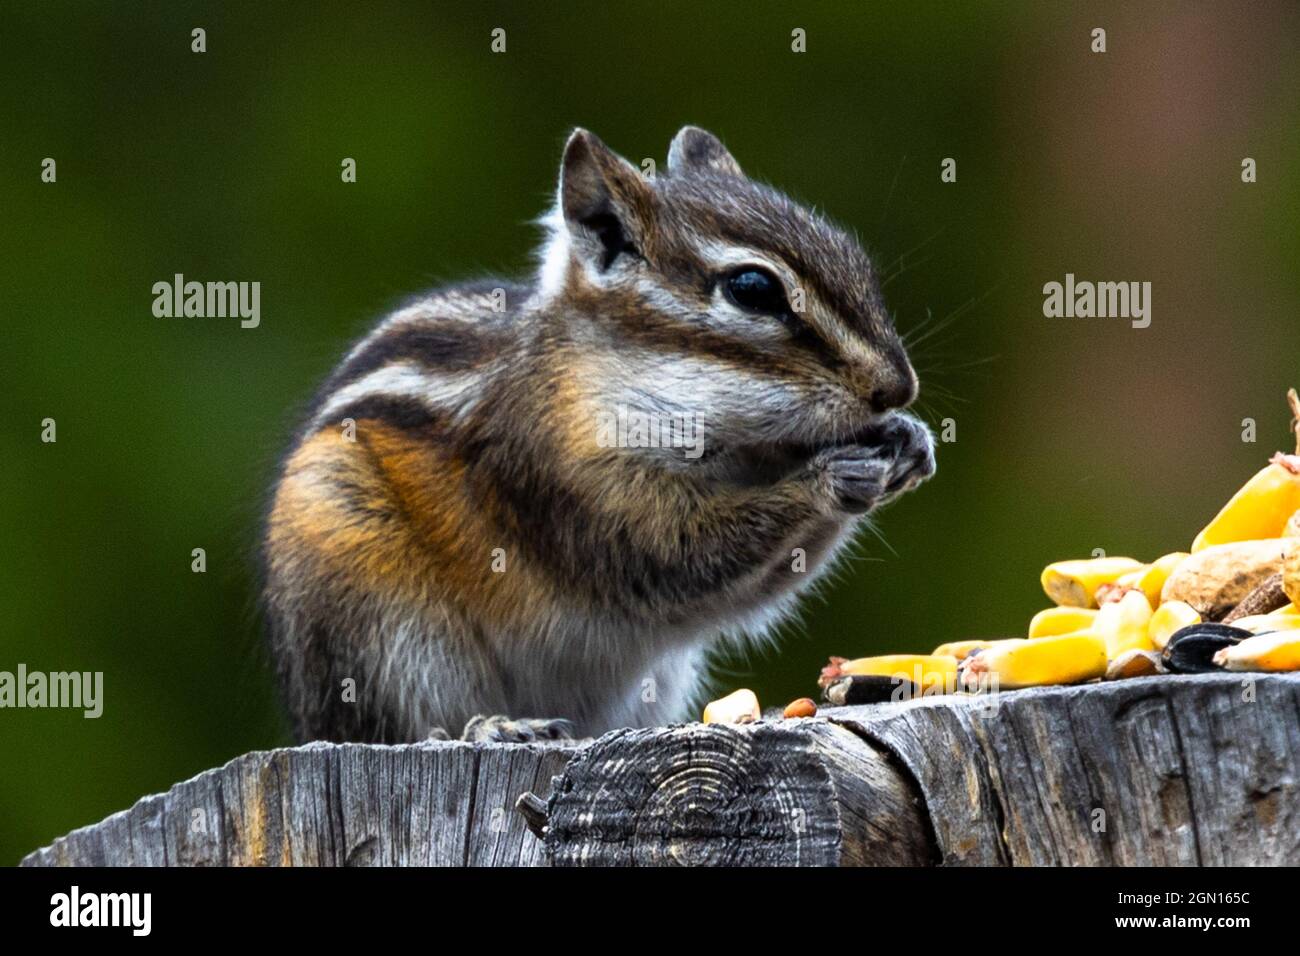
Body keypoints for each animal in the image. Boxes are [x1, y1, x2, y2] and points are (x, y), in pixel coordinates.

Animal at [262, 126, 935, 744]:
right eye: (753, 289)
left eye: (854, 259)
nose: (898, 388)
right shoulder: (558, 471)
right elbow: (669, 549)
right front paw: (830, 477)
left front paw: (911, 441)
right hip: (366, 600)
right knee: (403, 727)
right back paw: (492, 726)